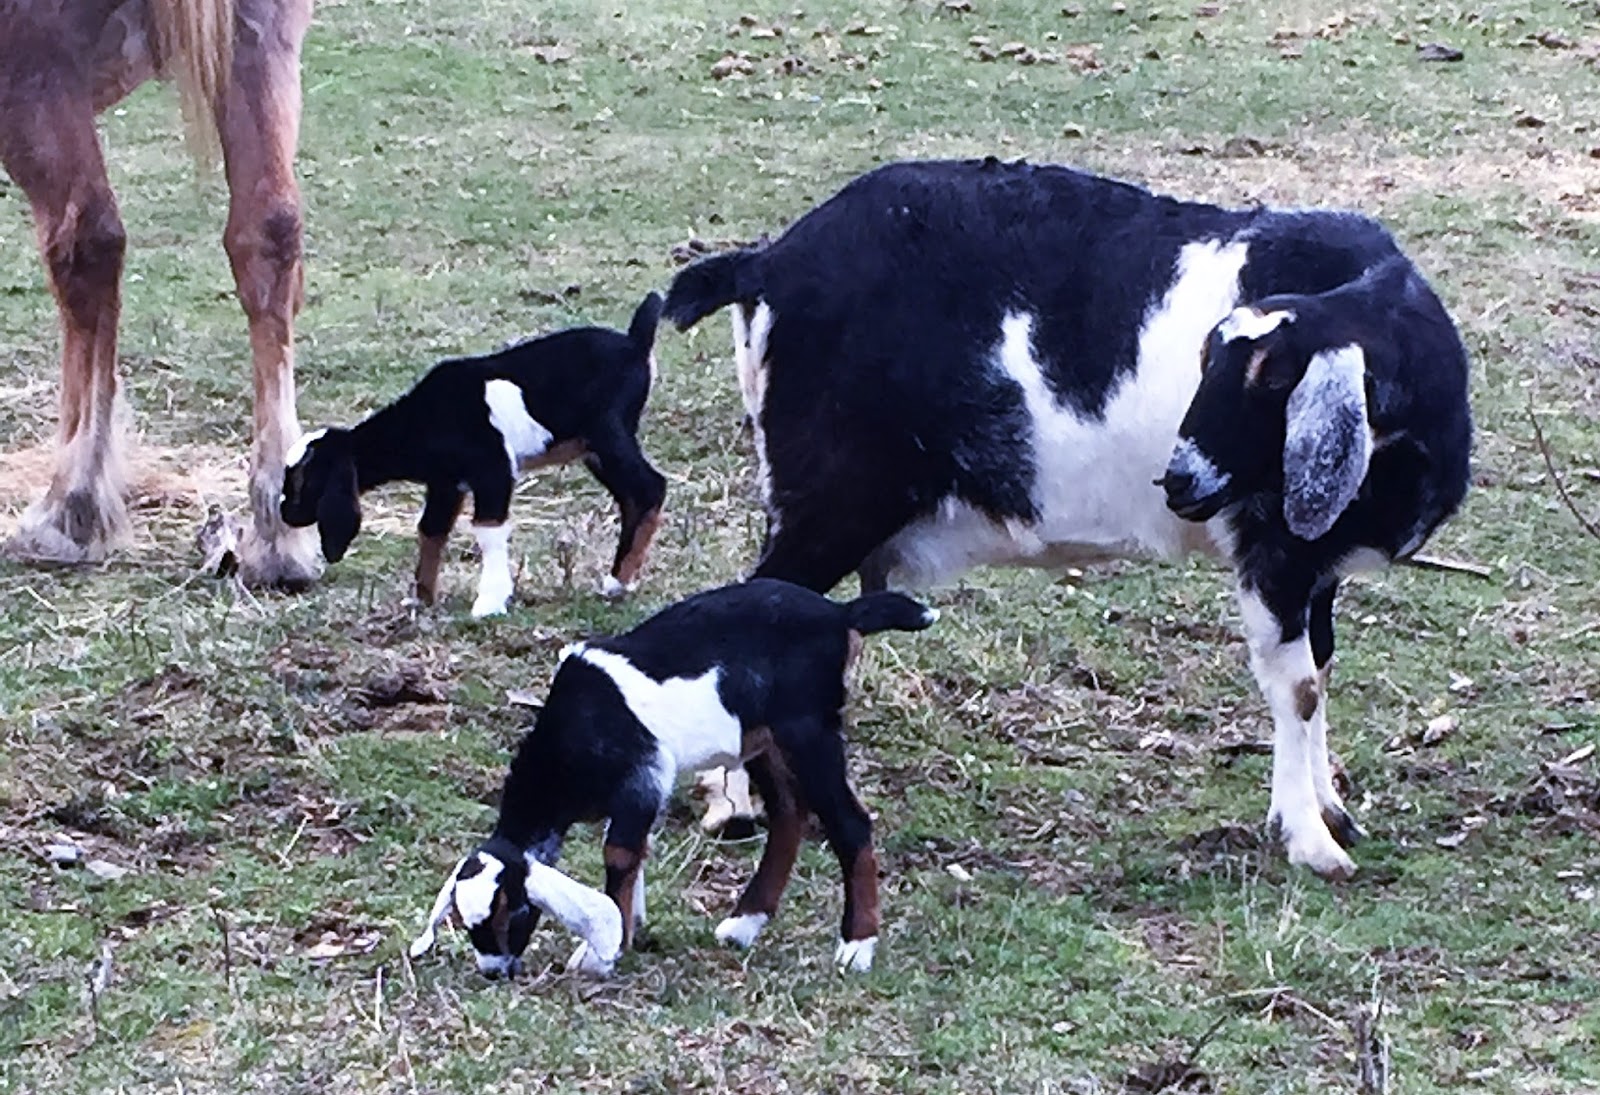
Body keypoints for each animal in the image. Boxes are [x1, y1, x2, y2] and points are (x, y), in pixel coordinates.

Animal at [280, 294, 667, 616]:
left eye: (304, 480)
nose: (285, 512)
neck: (424, 420)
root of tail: (635, 342)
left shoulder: (492, 470)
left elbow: (488, 530)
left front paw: (490, 603)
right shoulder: (446, 483)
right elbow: (431, 529)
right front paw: (420, 598)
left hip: (608, 432)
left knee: (651, 487)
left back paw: (618, 583)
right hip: (594, 449)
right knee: (632, 497)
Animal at [407, 578, 938, 977]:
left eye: (511, 910)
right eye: (466, 920)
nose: (493, 971)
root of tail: (839, 614)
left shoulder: (643, 776)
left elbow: (620, 853)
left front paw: (601, 952)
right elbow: (636, 851)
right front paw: (631, 926)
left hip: (808, 729)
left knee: (850, 823)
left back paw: (856, 946)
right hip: (764, 739)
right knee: (789, 815)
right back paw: (743, 925)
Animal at [665, 158, 1472, 879]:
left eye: (1272, 375)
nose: (1179, 478)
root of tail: (767, 264)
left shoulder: (1315, 563)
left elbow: (1322, 669)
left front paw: (1330, 809)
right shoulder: (1268, 550)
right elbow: (1298, 686)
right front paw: (1310, 841)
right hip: (827, 499)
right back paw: (732, 804)